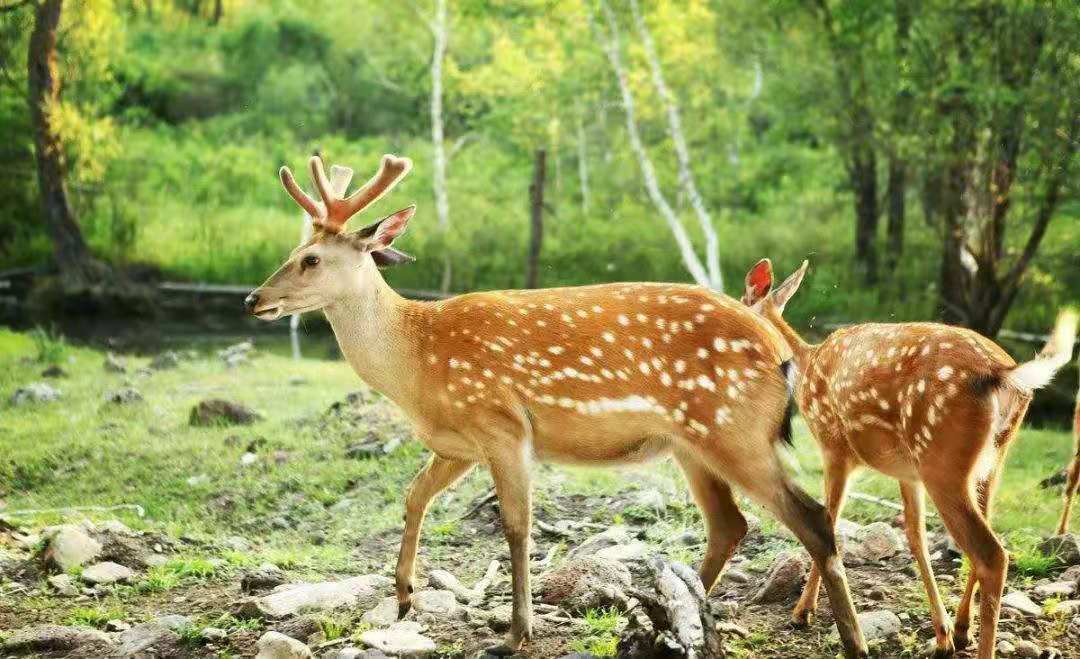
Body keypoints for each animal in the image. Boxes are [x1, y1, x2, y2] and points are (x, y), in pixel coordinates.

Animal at [244, 154, 871, 658]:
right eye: (294, 251)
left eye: (310, 259)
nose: (253, 298)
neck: (415, 362)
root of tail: (781, 354)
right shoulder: (458, 444)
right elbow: (414, 495)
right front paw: (403, 596)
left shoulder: (501, 423)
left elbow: (517, 527)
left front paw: (516, 633)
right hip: (692, 442)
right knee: (731, 524)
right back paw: (682, 613)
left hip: (734, 427)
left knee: (813, 518)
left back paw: (851, 640)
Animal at [740, 258, 1077, 659]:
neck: (807, 368)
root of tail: (1001, 373)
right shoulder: (906, 472)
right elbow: (915, 537)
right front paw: (942, 633)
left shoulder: (834, 446)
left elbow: (829, 521)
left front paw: (802, 612)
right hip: (989, 460)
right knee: (981, 539)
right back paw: (961, 629)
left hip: (942, 459)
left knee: (992, 554)